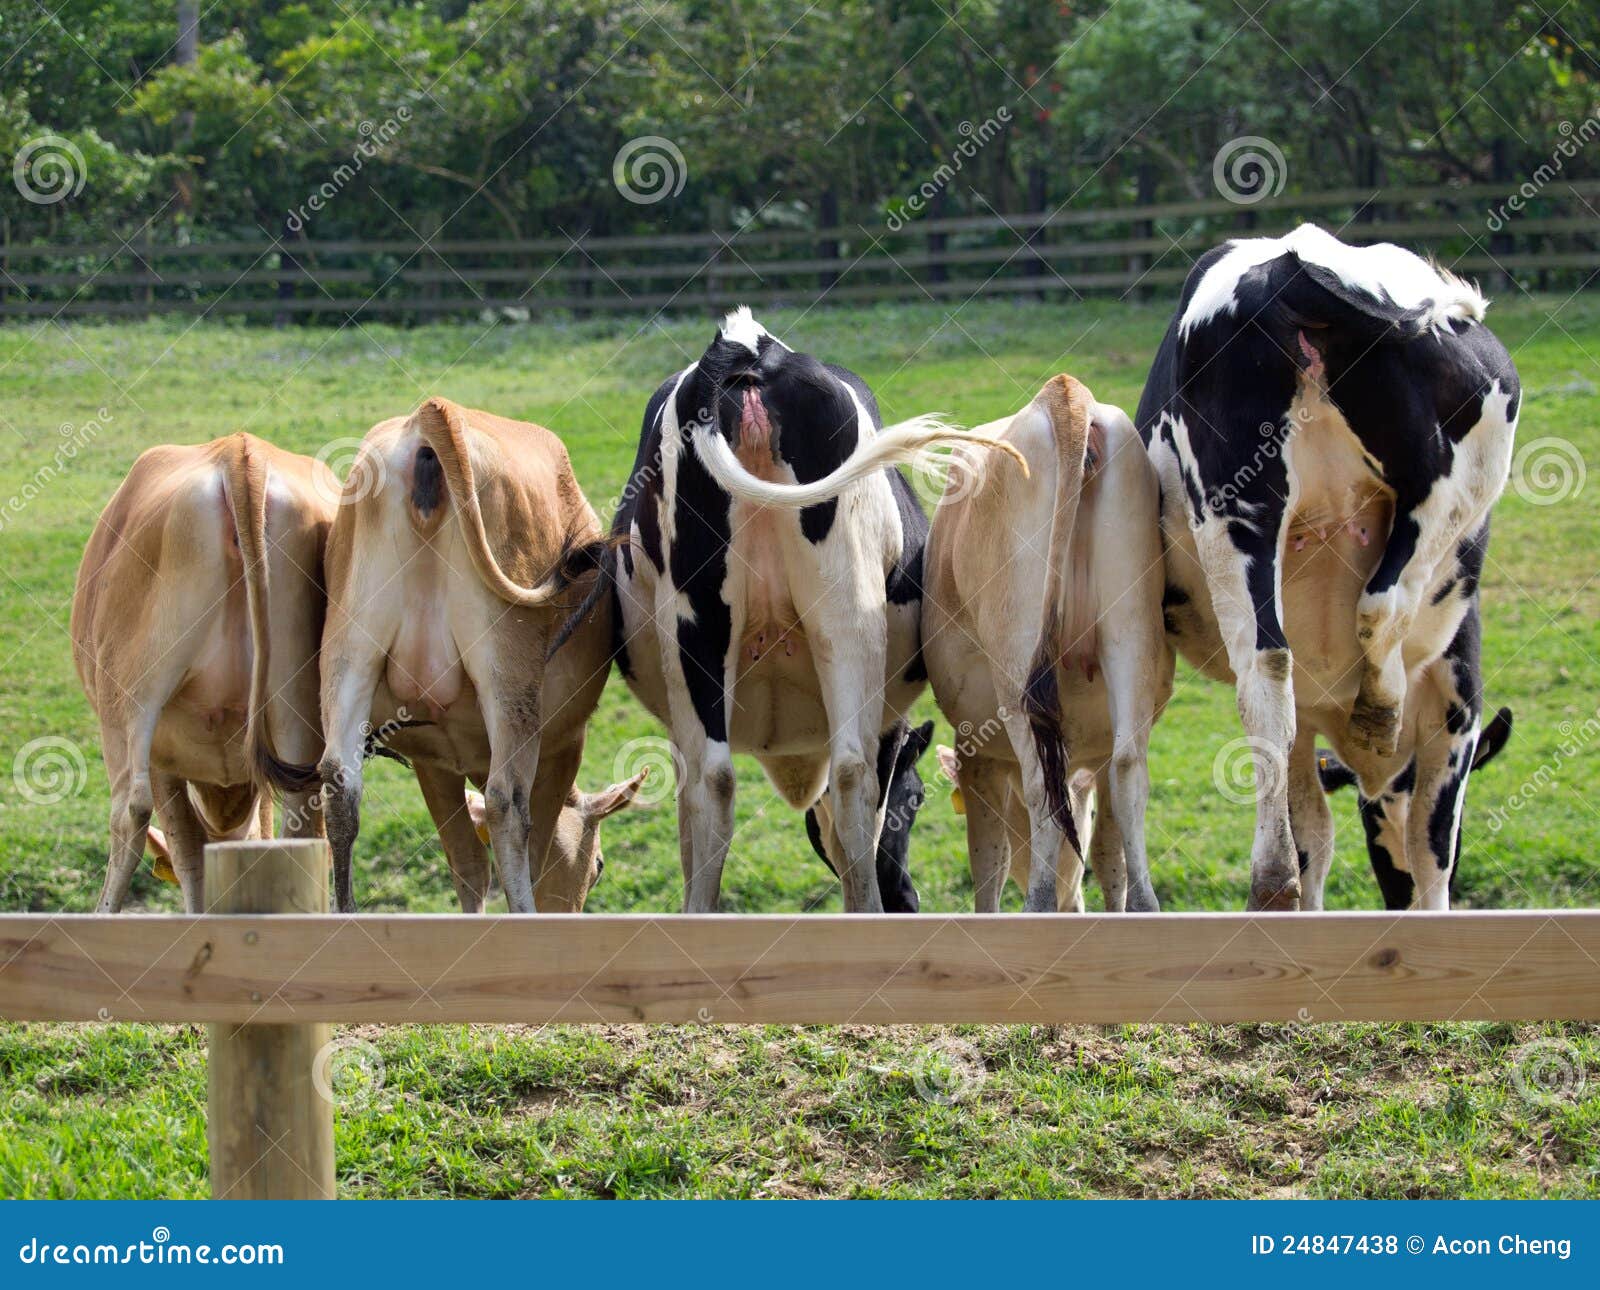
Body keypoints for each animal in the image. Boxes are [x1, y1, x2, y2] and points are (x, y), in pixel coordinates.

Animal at [71, 434, 335, 912]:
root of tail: (240, 452)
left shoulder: (163, 757)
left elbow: (186, 849)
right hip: (295, 701)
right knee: (304, 819)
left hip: (132, 700)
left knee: (130, 813)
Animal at [315, 397, 615, 913]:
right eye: (596, 867)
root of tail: (435, 412)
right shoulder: (564, 743)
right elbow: (531, 851)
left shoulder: (430, 761)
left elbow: (467, 864)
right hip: (509, 674)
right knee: (506, 802)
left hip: (348, 650)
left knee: (340, 788)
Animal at [924, 375, 1172, 913]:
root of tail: (1063, 392)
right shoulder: (1093, 763)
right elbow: (1107, 855)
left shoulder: (978, 757)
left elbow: (987, 867)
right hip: (1130, 631)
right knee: (1130, 773)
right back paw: (1143, 908)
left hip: (1016, 656)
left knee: (1041, 787)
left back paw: (1038, 902)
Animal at [1136, 223, 1519, 910]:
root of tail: (1294, 268)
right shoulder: (1460, 701)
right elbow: (1434, 848)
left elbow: (1313, 829)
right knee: (1375, 609)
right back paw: (1378, 713)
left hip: (1244, 516)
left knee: (1274, 670)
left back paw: (1272, 881)